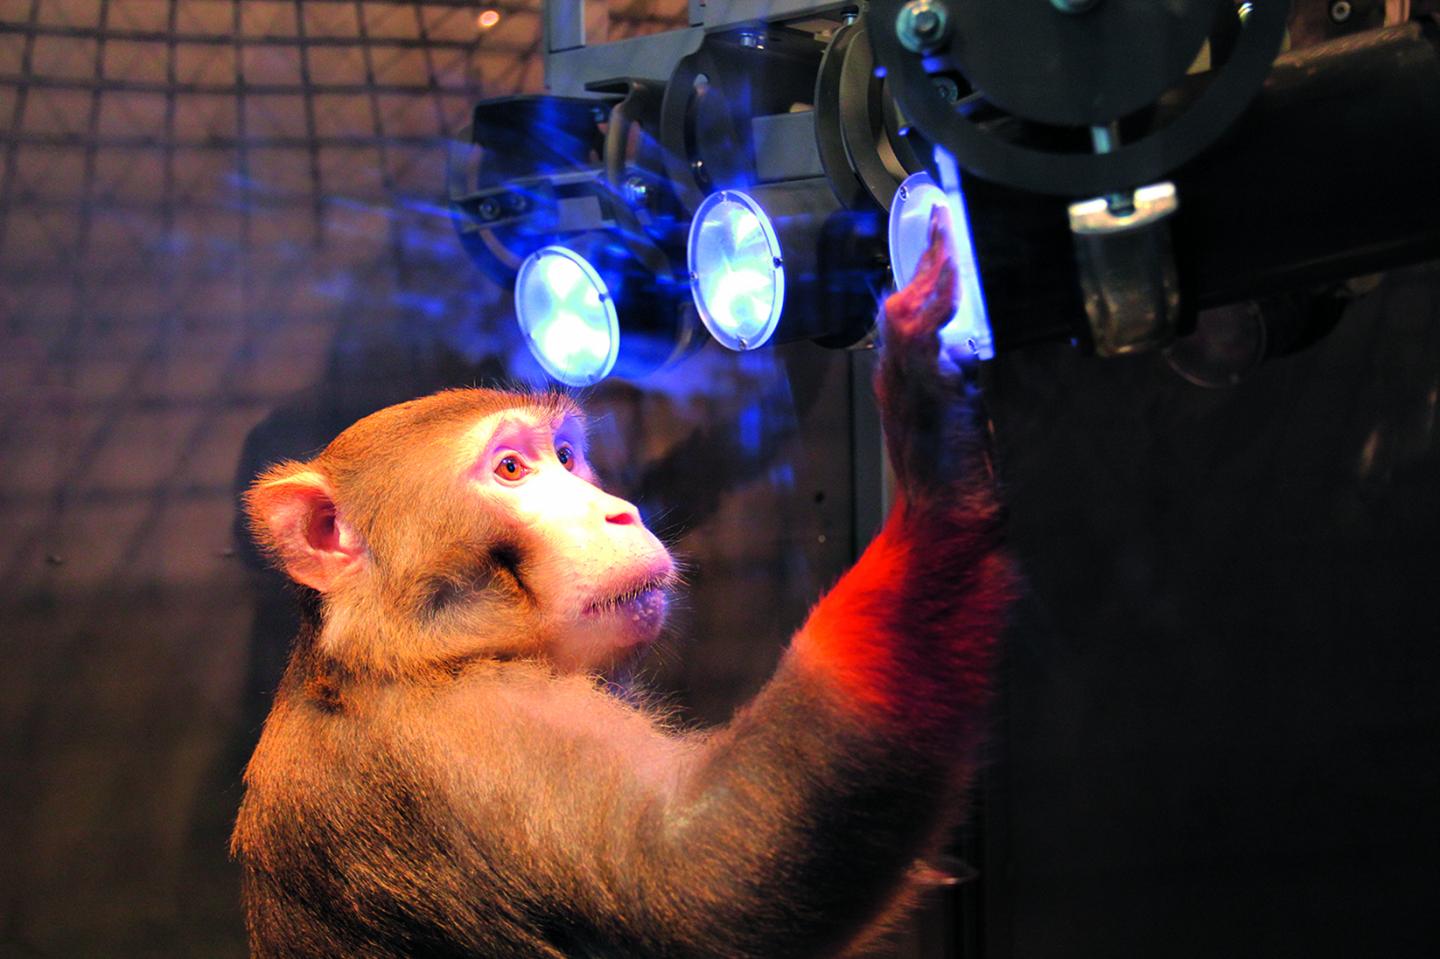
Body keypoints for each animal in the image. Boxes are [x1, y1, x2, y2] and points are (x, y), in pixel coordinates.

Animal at [231, 207, 1016, 959]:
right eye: (511, 468)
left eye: (566, 457)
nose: (619, 510)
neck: (403, 655)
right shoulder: (470, 738)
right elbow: (703, 873)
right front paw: (936, 448)